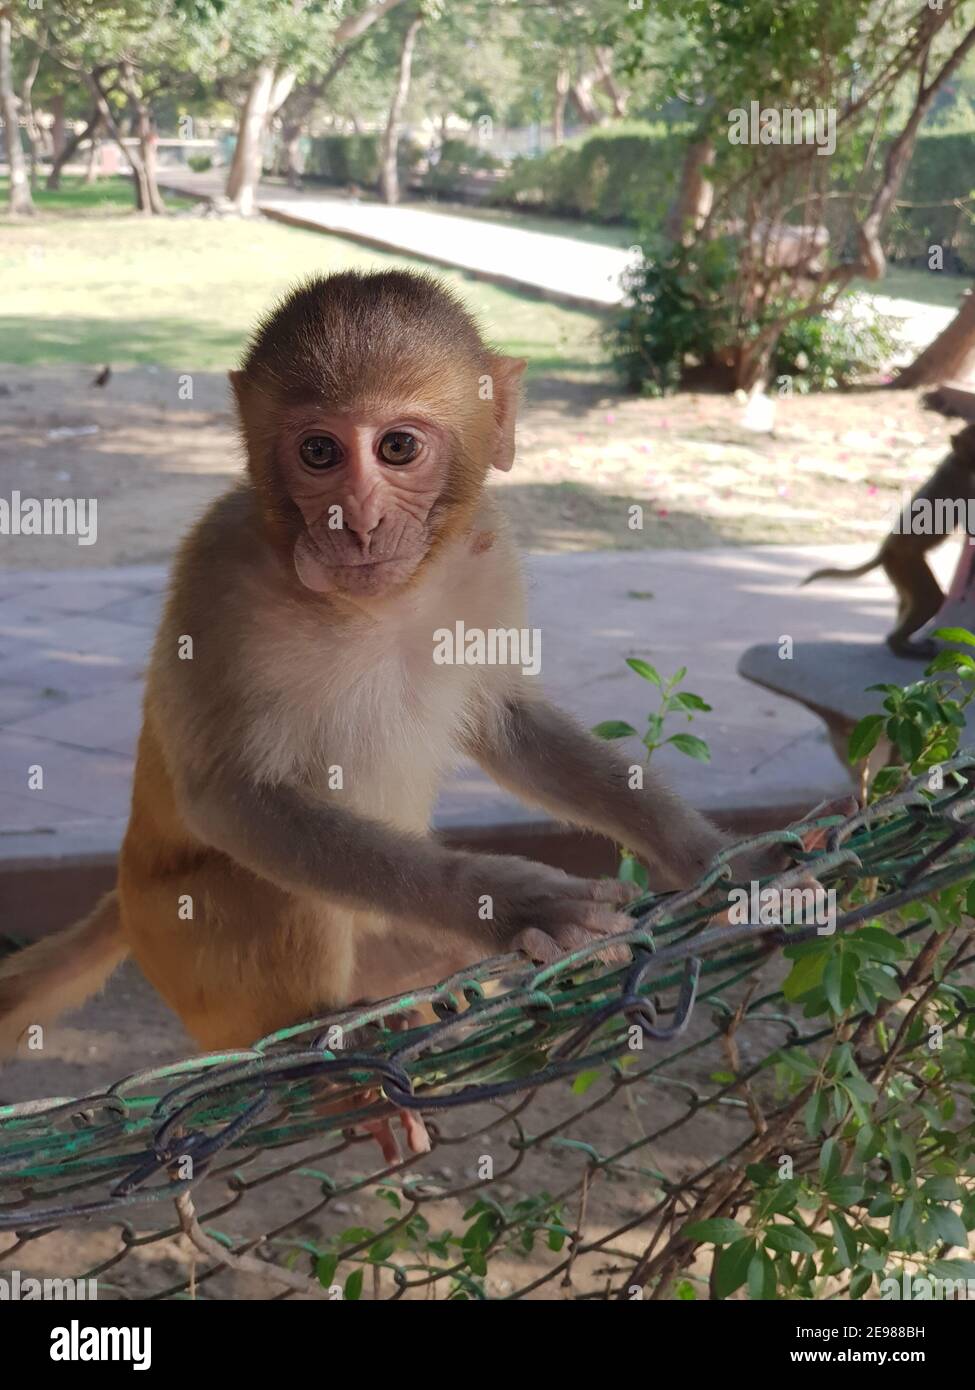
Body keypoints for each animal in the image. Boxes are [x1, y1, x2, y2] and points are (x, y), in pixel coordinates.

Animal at [1, 270, 805, 1148]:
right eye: (319, 452)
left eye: (396, 449)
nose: (355, 520)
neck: (377, 605)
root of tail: (122, 897)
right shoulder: (216, 568)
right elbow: (232, 798)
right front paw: (508, 900)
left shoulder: (485, 555)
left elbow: (510, 726)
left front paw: (715, 858)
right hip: (185, 947)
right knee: (262, 882)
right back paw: (325, 1063)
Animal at [800, 424, 975, 658]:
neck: (959, 459)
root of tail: (884, 550)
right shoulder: (963, 482)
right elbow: (970, 524)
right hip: (905, 562)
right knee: (930, 599)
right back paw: (900, 645)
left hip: (898, 571)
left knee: (908, 601)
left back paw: (903, 643)